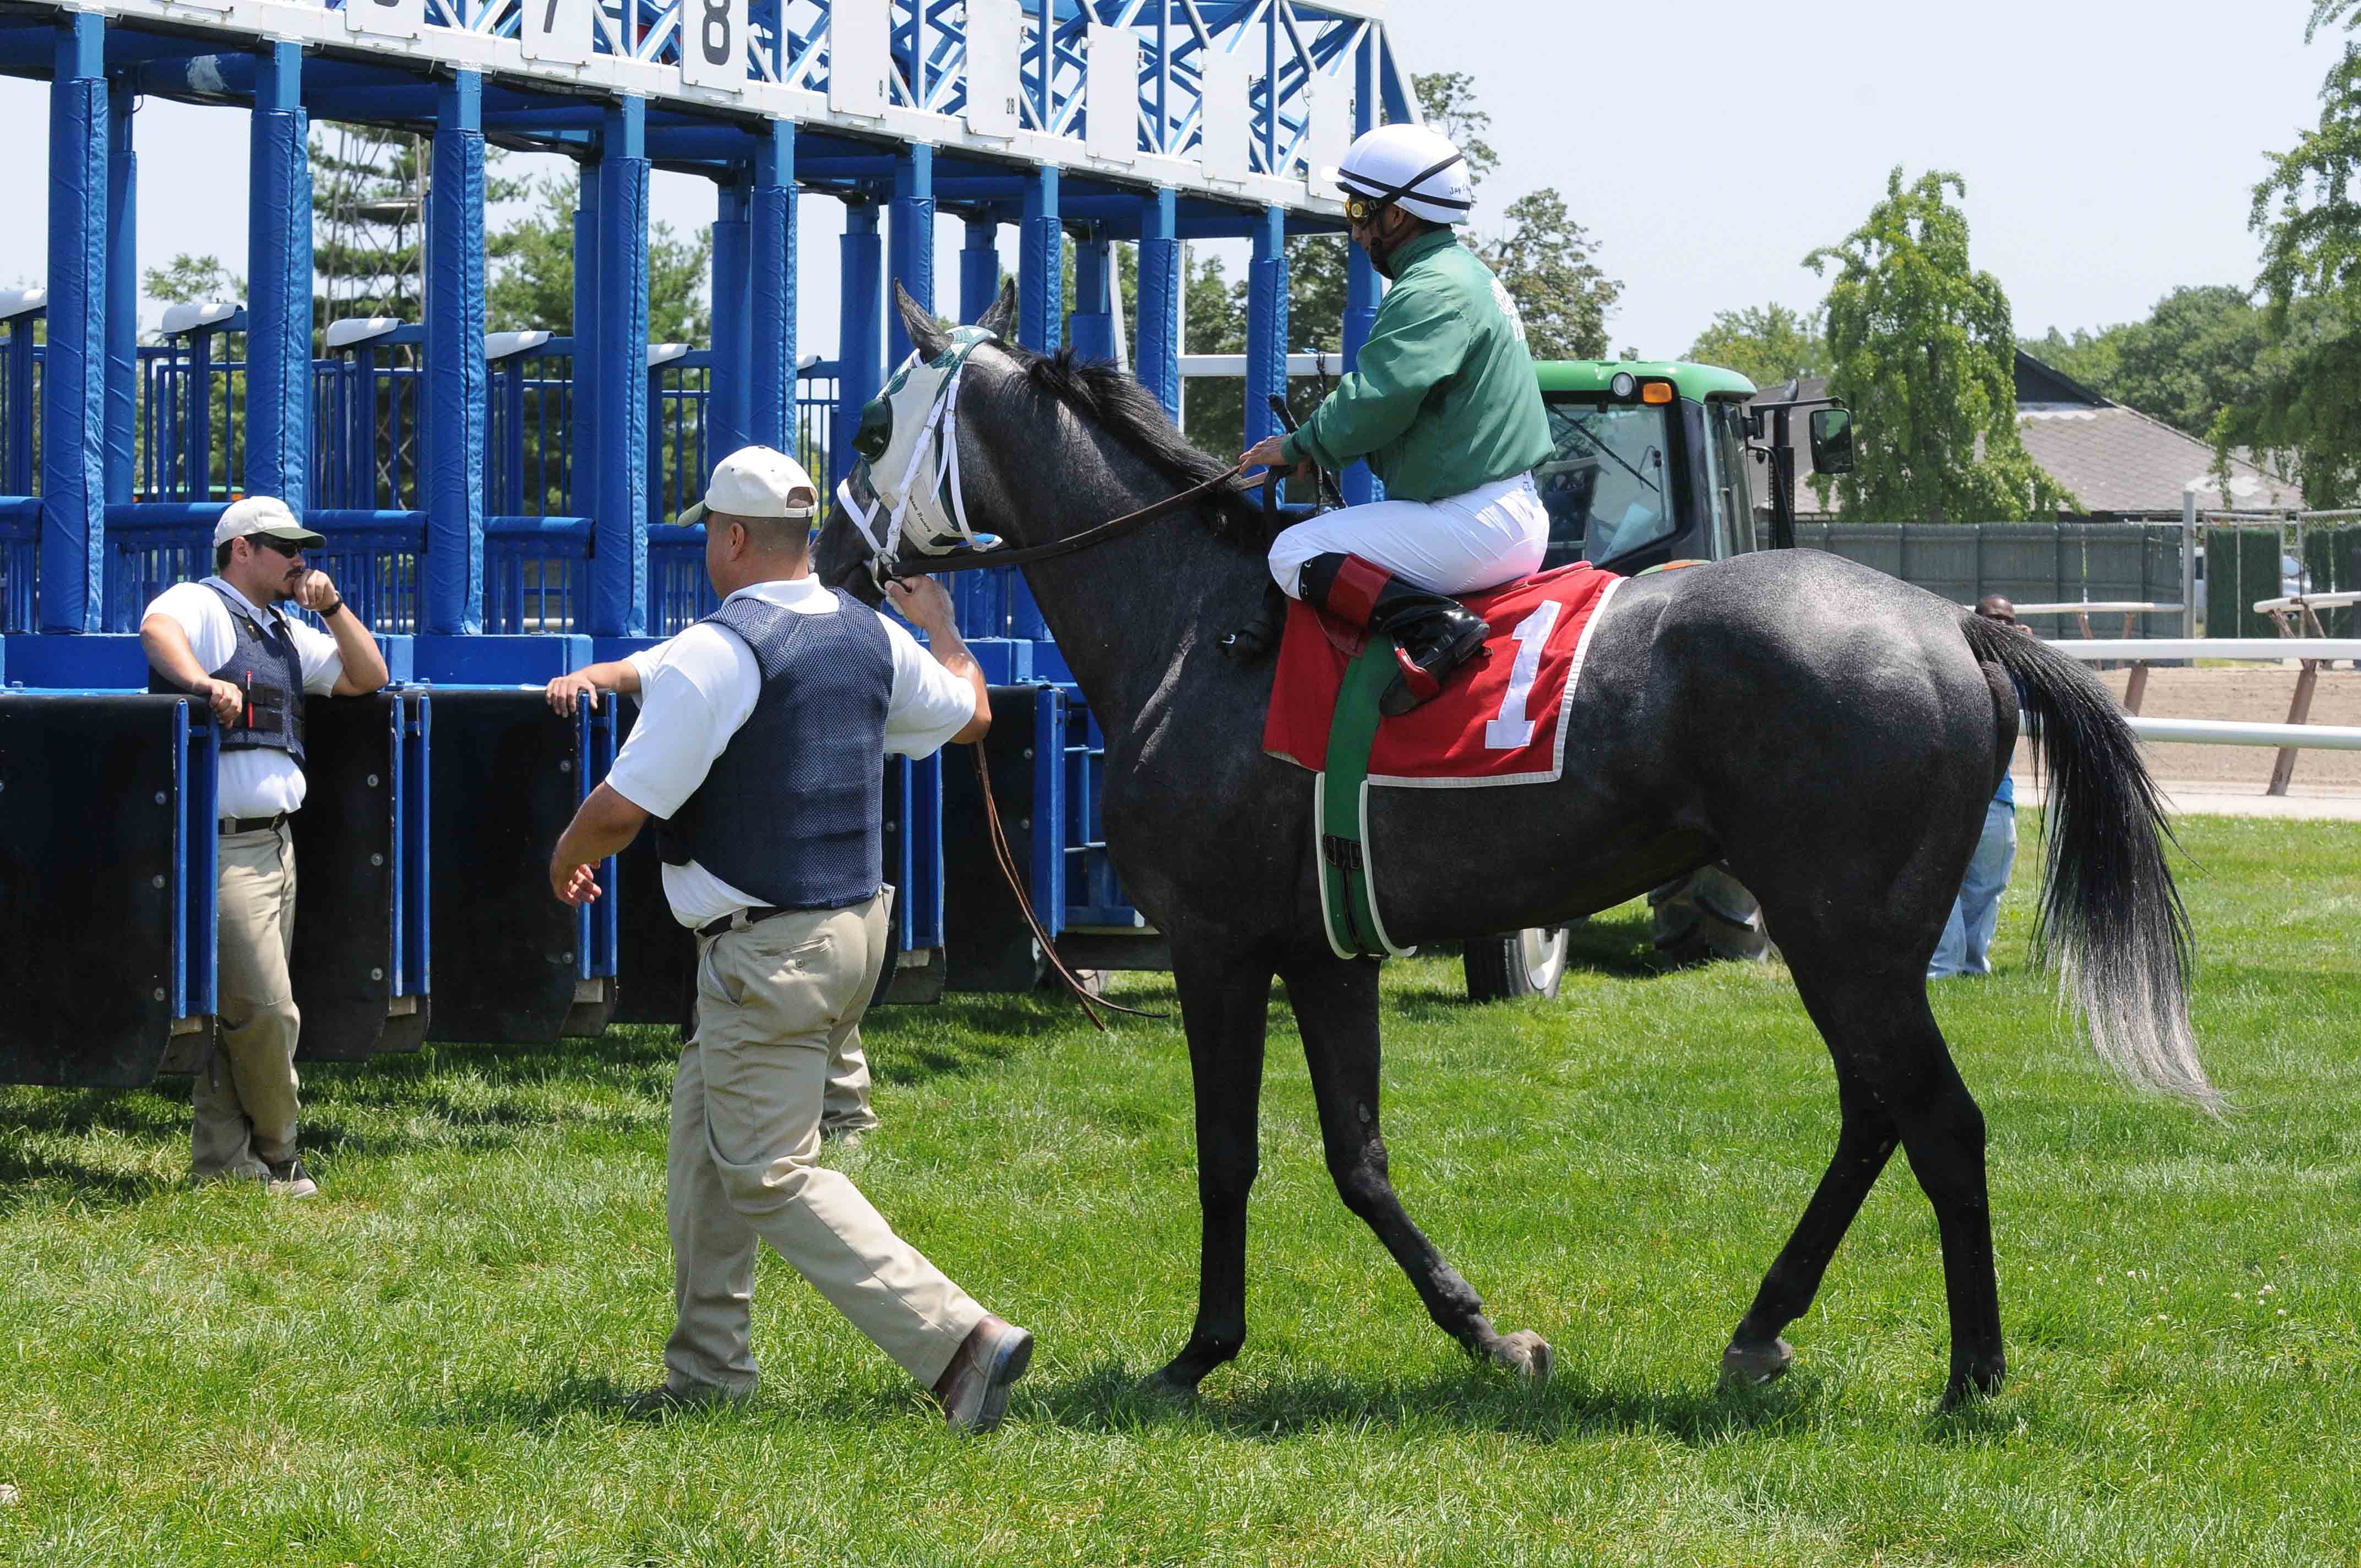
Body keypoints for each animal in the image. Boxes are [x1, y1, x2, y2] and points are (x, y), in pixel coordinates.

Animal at [815, 282, 2212, 1410]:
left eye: (871, 428)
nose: (830, 557)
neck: (1195, 630)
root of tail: (1954, 627)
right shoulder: (1327, 953)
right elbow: (1359, 1158)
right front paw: (1487, 1334)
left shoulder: (1220, 948)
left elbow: (1228, 1155)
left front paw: (1196, 1354)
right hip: (1853, 942)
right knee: (1877, 1114)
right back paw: (1764, 1328)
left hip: (1841, 934)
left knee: (1937, 1120)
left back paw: (1968, 1372)